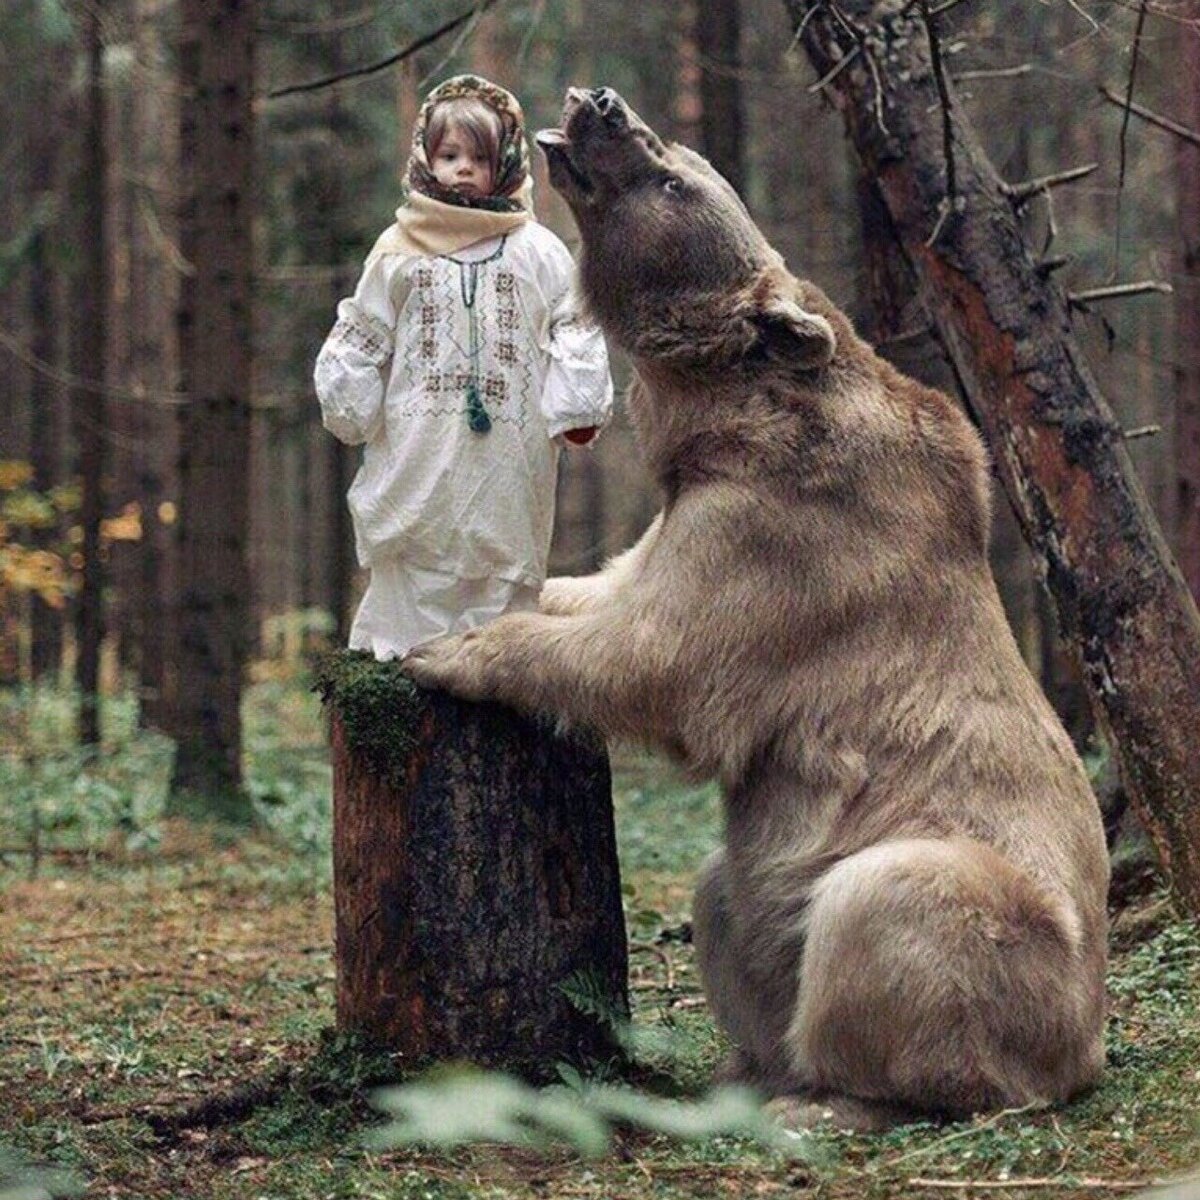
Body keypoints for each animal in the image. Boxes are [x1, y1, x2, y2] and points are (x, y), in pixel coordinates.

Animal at [408, 87, 1108, 1132]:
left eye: (672, 178)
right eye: (678, 152)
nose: (602, 104)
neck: (726, 415)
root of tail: (1089, 1043)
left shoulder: (785, 539)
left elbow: (657, 656)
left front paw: (453, 646)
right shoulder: (693, 507)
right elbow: (615, 585)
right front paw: (520, 594)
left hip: (1018, 941)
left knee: (889, 905)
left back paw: (828, 1098)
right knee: (725, 894)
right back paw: (749, 1068)